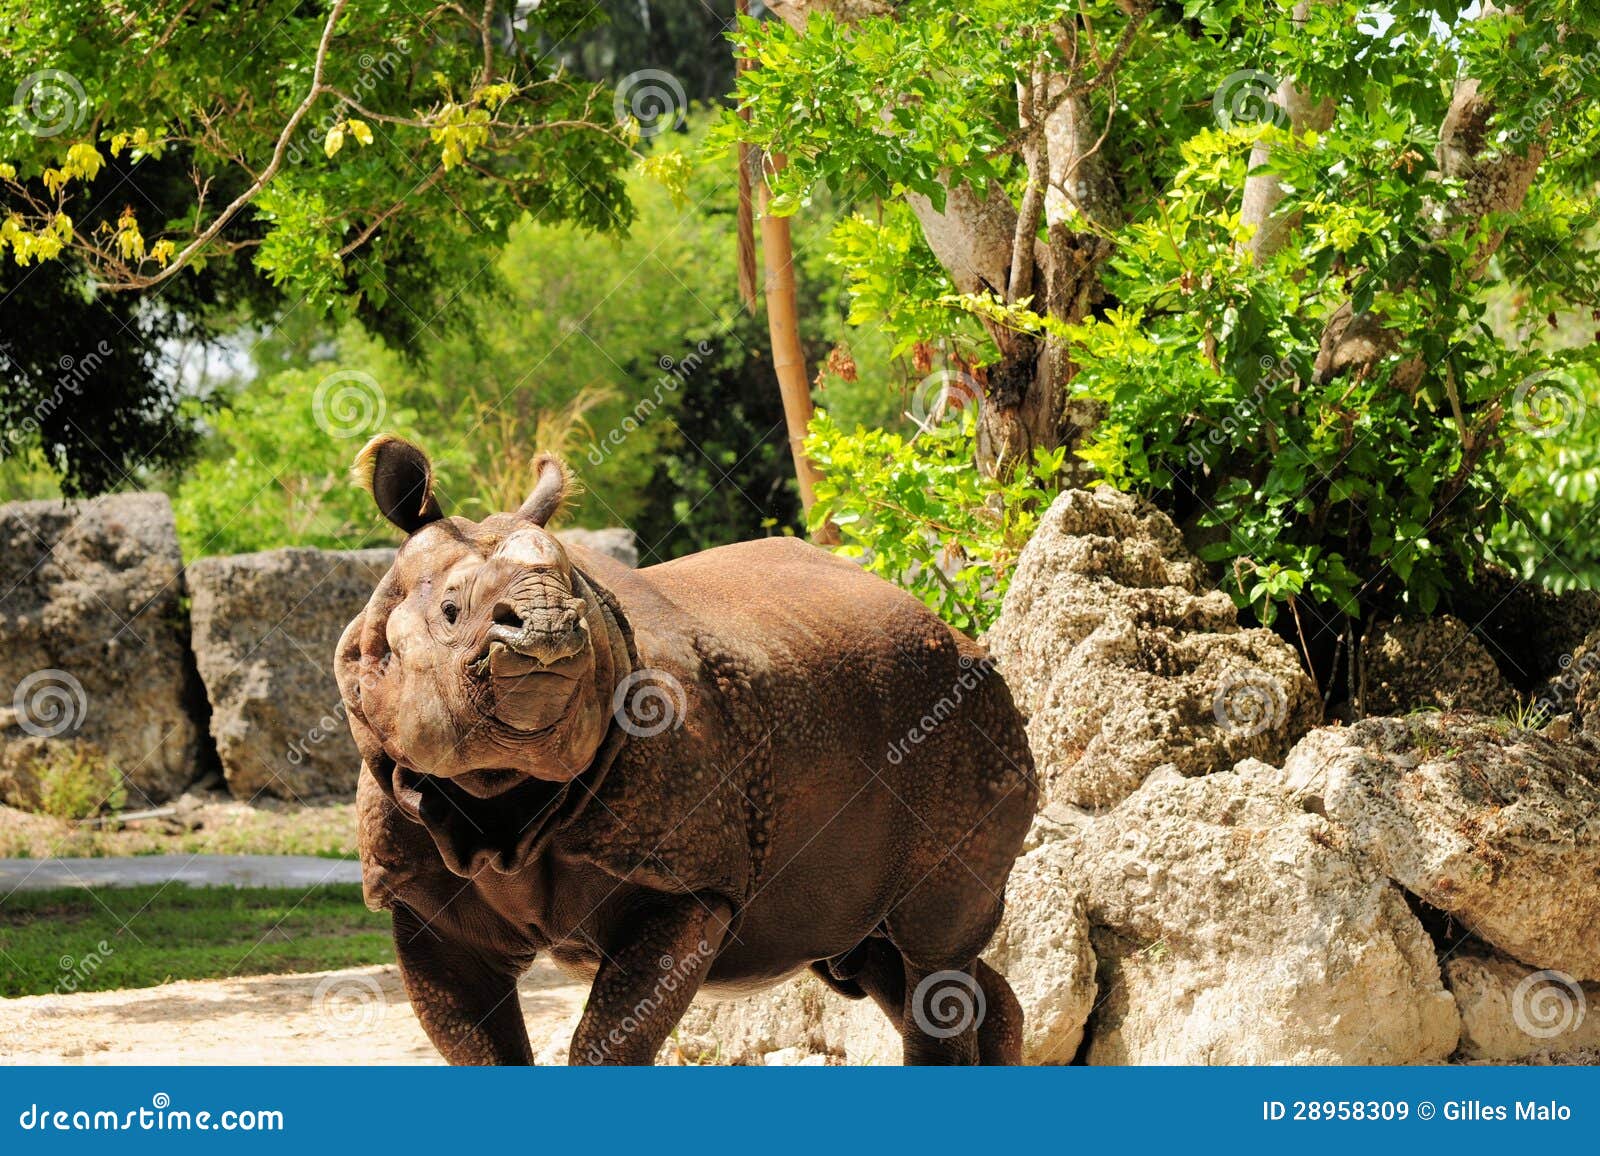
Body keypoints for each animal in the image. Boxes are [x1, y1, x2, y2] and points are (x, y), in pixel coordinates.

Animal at [337, 435, 1038, 1064]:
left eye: (578, 606)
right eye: (451, 612)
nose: (550, 629)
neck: (500, 788)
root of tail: (960, 636)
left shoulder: (688, 880)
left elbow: (607, 1044)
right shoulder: (415, 894)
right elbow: (477, 1044)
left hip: (968, 725)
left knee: (931, 952)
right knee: (879, 956)